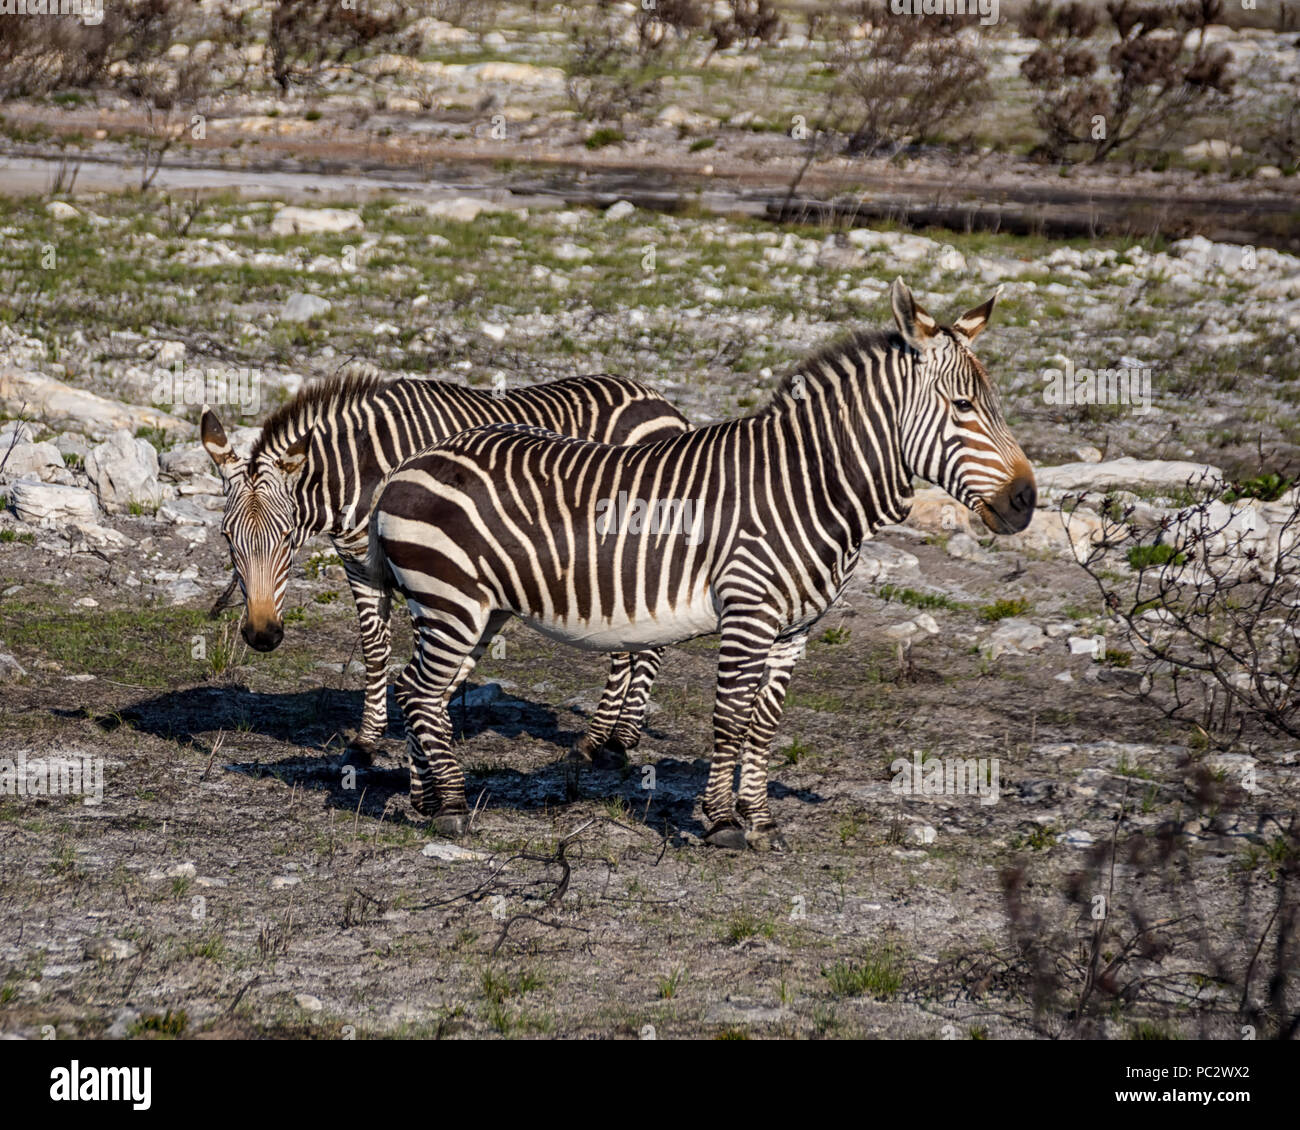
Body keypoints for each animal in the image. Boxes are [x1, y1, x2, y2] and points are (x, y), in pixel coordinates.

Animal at [199, 372, 689, 767]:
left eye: (286, 537)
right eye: (226, 538)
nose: (262, 636)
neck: (365, 474)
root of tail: (662, 401)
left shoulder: (434, 568)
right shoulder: (362, 567)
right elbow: (375, 651)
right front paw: (366, 742)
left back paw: (609, 741)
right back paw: (614, 737)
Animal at [368, 279, 1036, 846]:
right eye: (963, 406)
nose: (1026, 501)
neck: (810, 486)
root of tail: (409, 463)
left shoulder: (796, 628)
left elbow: (763, 726)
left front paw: (761, 822)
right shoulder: (748, 612)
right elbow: (731, 721)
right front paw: (721, 824)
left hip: (476, 610)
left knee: (417, 689)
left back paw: (426, 800)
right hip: (451, 601)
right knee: (422, 692)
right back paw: (453, 809)